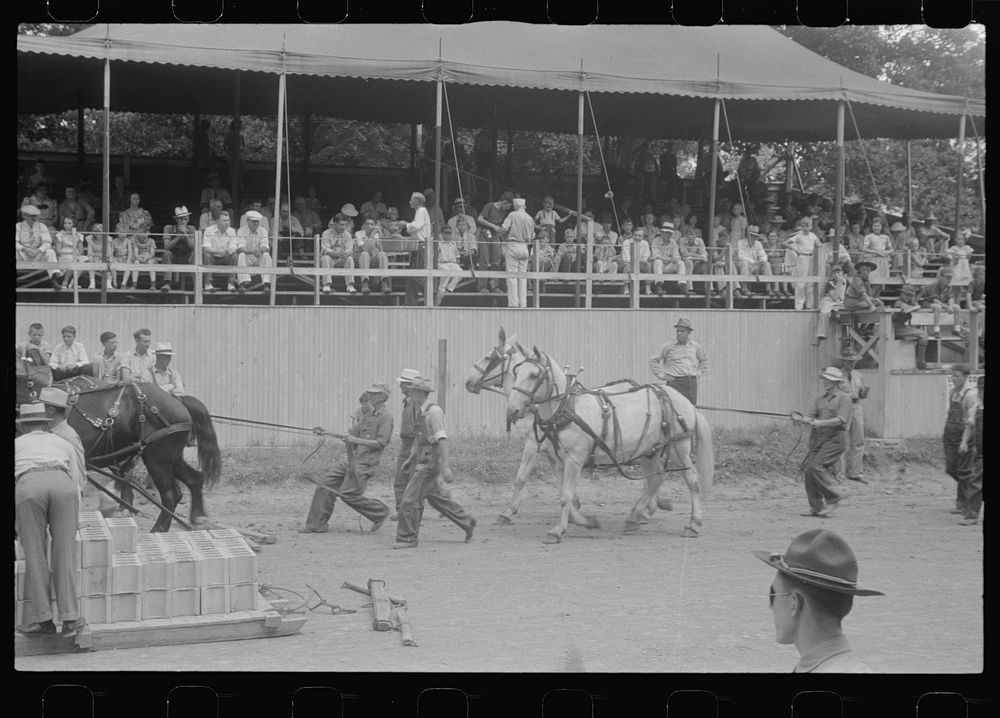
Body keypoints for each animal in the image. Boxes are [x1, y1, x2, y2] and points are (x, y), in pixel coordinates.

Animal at [14, 352, 221, 532]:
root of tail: (177, 399)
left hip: (157, 458)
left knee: (171, 494)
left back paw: (158, 529)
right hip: (170, 456)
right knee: (194, 479)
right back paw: (198, 520)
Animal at [466, 330, 672, 524]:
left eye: (489, 357)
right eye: (517, 373)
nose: (468, 382)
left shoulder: (533, 444)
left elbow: (521, 478)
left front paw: (507, 512)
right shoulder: (552, 449)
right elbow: (560, 481)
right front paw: (575, 508)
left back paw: (648, 508)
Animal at [508, 346, 712, 544]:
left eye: (534, 375)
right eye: (516, 372)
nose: (512, 410)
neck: (566, 409)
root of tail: (686, 402)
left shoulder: (574, 460)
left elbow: (566, 496)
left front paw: (557, 531)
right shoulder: (558, 461)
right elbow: (564, 494)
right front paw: (587, 522)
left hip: (679, 447)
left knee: (692, 480)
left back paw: (693, 524)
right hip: (648, 452)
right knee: (655, 481)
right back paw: (633, 518)